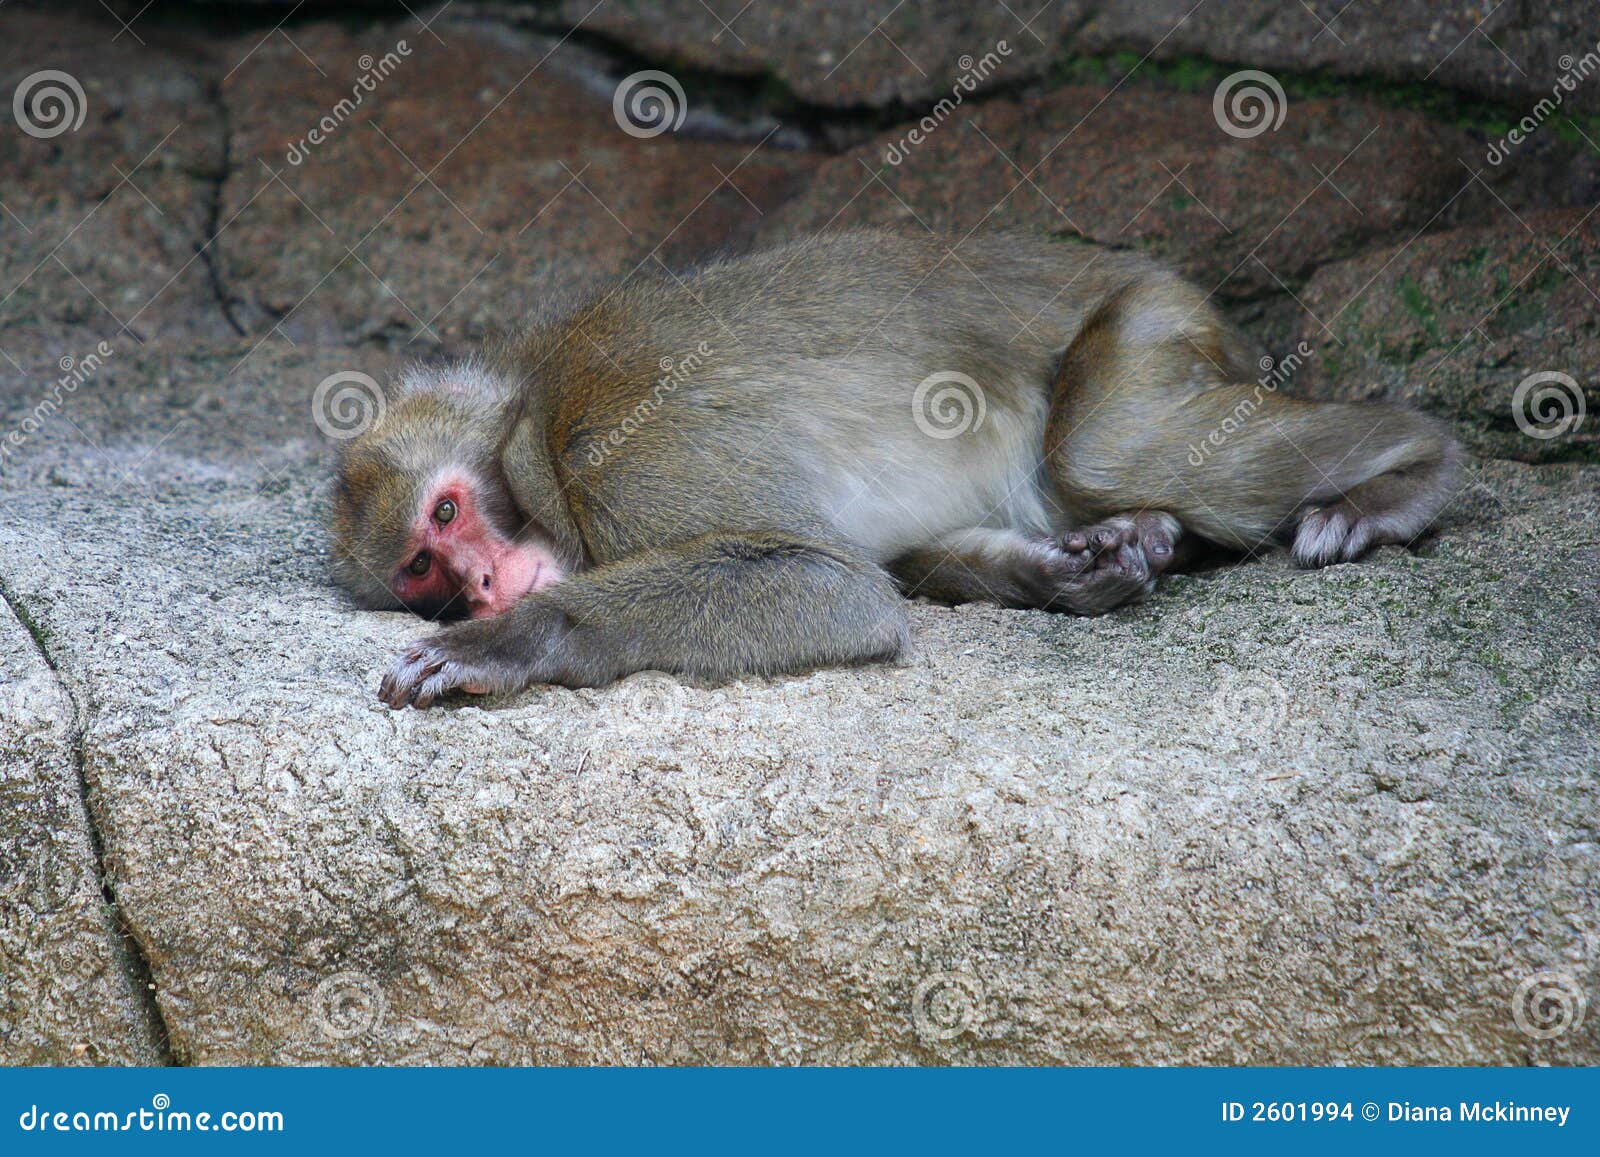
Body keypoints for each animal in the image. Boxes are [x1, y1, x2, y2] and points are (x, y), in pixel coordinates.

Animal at [327, 229, 1461, 708]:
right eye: (421, 572)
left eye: (447, 513)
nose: (479, 583)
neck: (532, 429)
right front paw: (1077, 567)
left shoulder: (622, 450)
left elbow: (828, 583)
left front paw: (510, 641)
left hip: (1150, 324)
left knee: (1104, 449)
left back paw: (1413, 471)